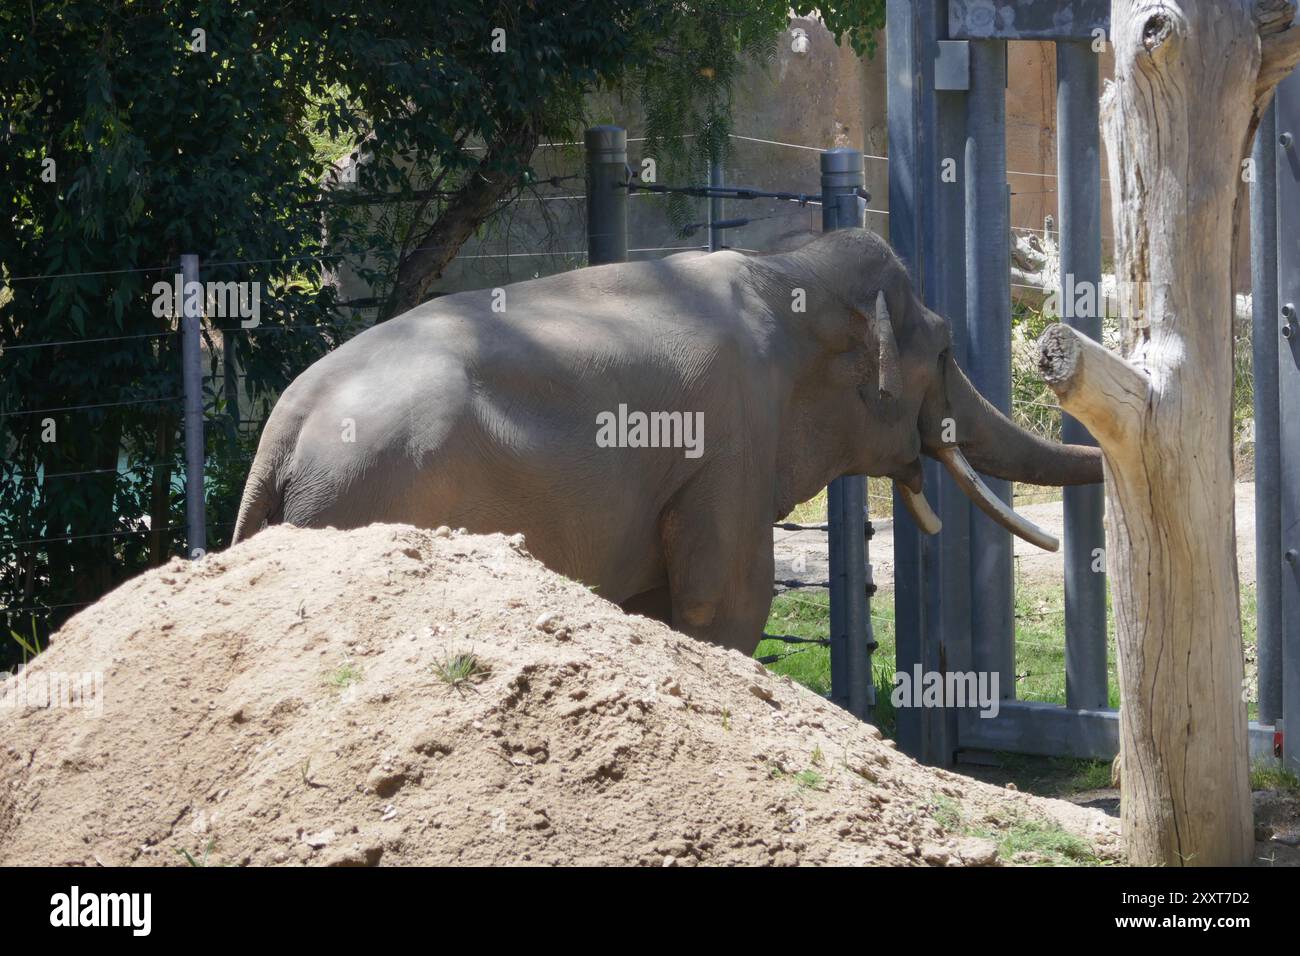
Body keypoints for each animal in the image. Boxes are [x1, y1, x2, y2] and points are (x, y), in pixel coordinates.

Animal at [232, 228, 1100, 654]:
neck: (783, 269)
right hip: (371, 491)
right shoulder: (732, 437)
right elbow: (727, 601)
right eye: (946, 351)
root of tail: (282, 435)